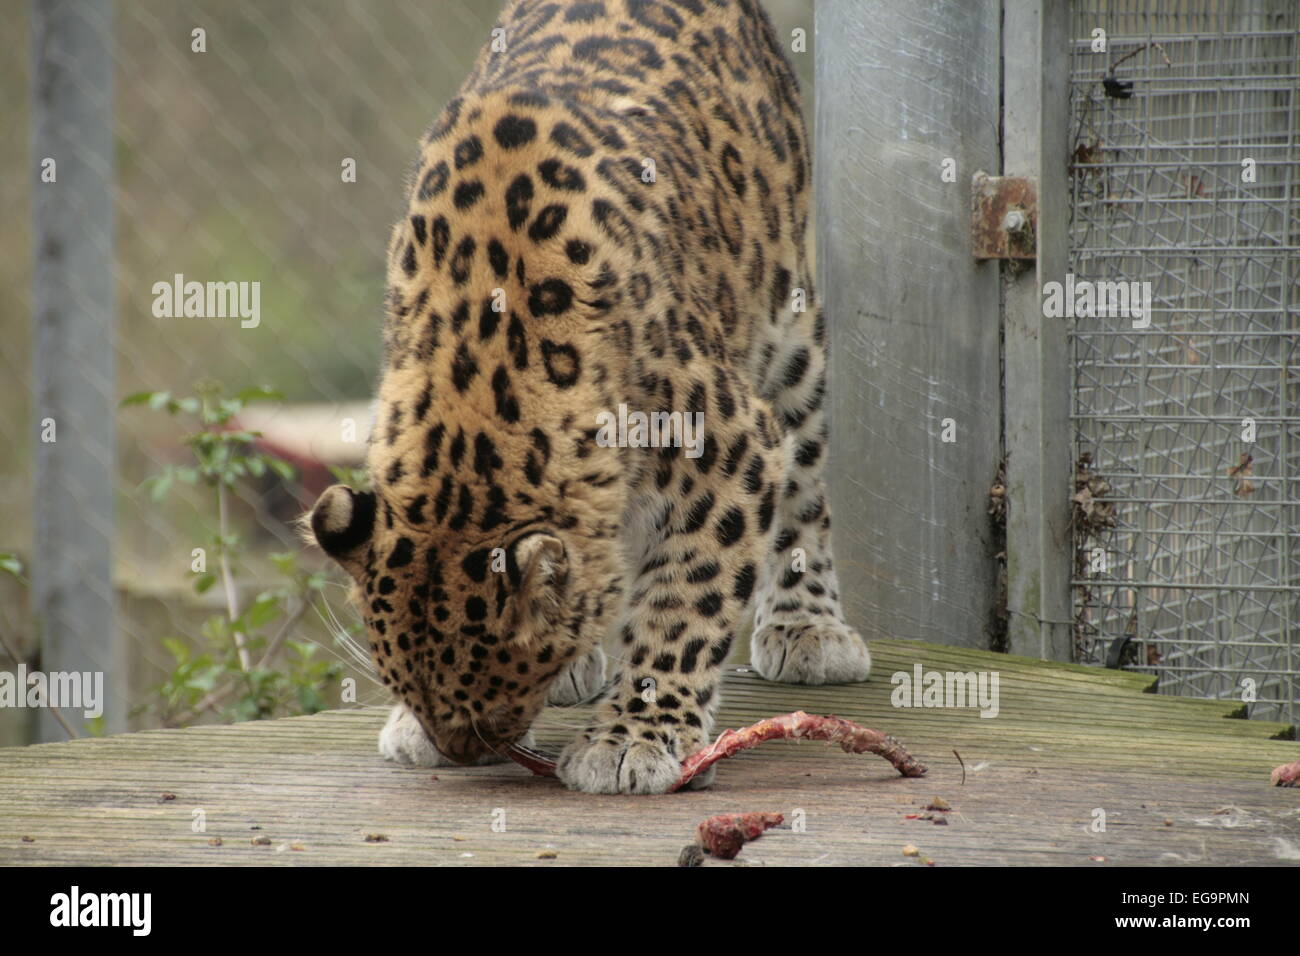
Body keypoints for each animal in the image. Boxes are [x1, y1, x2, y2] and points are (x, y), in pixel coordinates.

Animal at [306, 0, 872, 794]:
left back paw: (808, 627)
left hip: (792, 337)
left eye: (501, 687)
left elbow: (685, 599)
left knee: (807, 489)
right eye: (406, 684)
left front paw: (632, 738)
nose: (462, 751)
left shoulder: (732, 446)